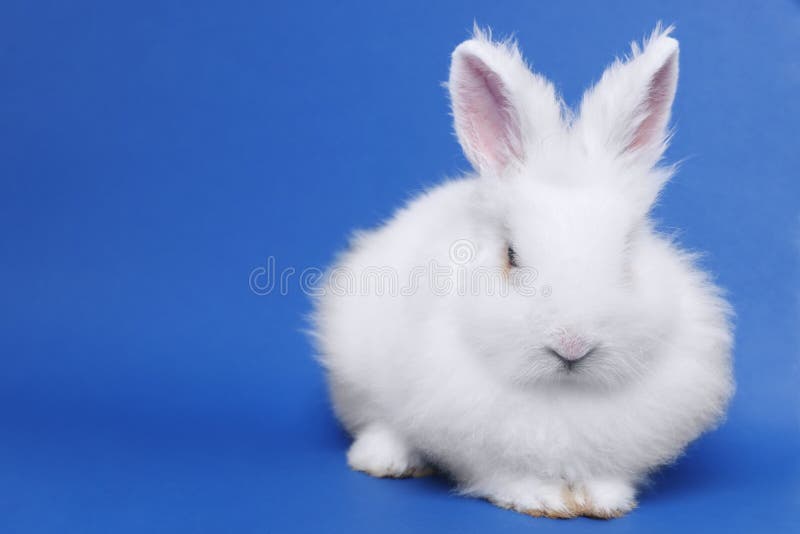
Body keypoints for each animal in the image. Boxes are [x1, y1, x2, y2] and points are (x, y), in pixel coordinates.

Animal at [311, 24, 734, 519]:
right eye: (511, 256)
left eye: (627, 254)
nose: (572, 345)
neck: (562, 394)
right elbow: (505, 474)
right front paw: (544, 499)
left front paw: (605, 501)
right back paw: (386, 460)